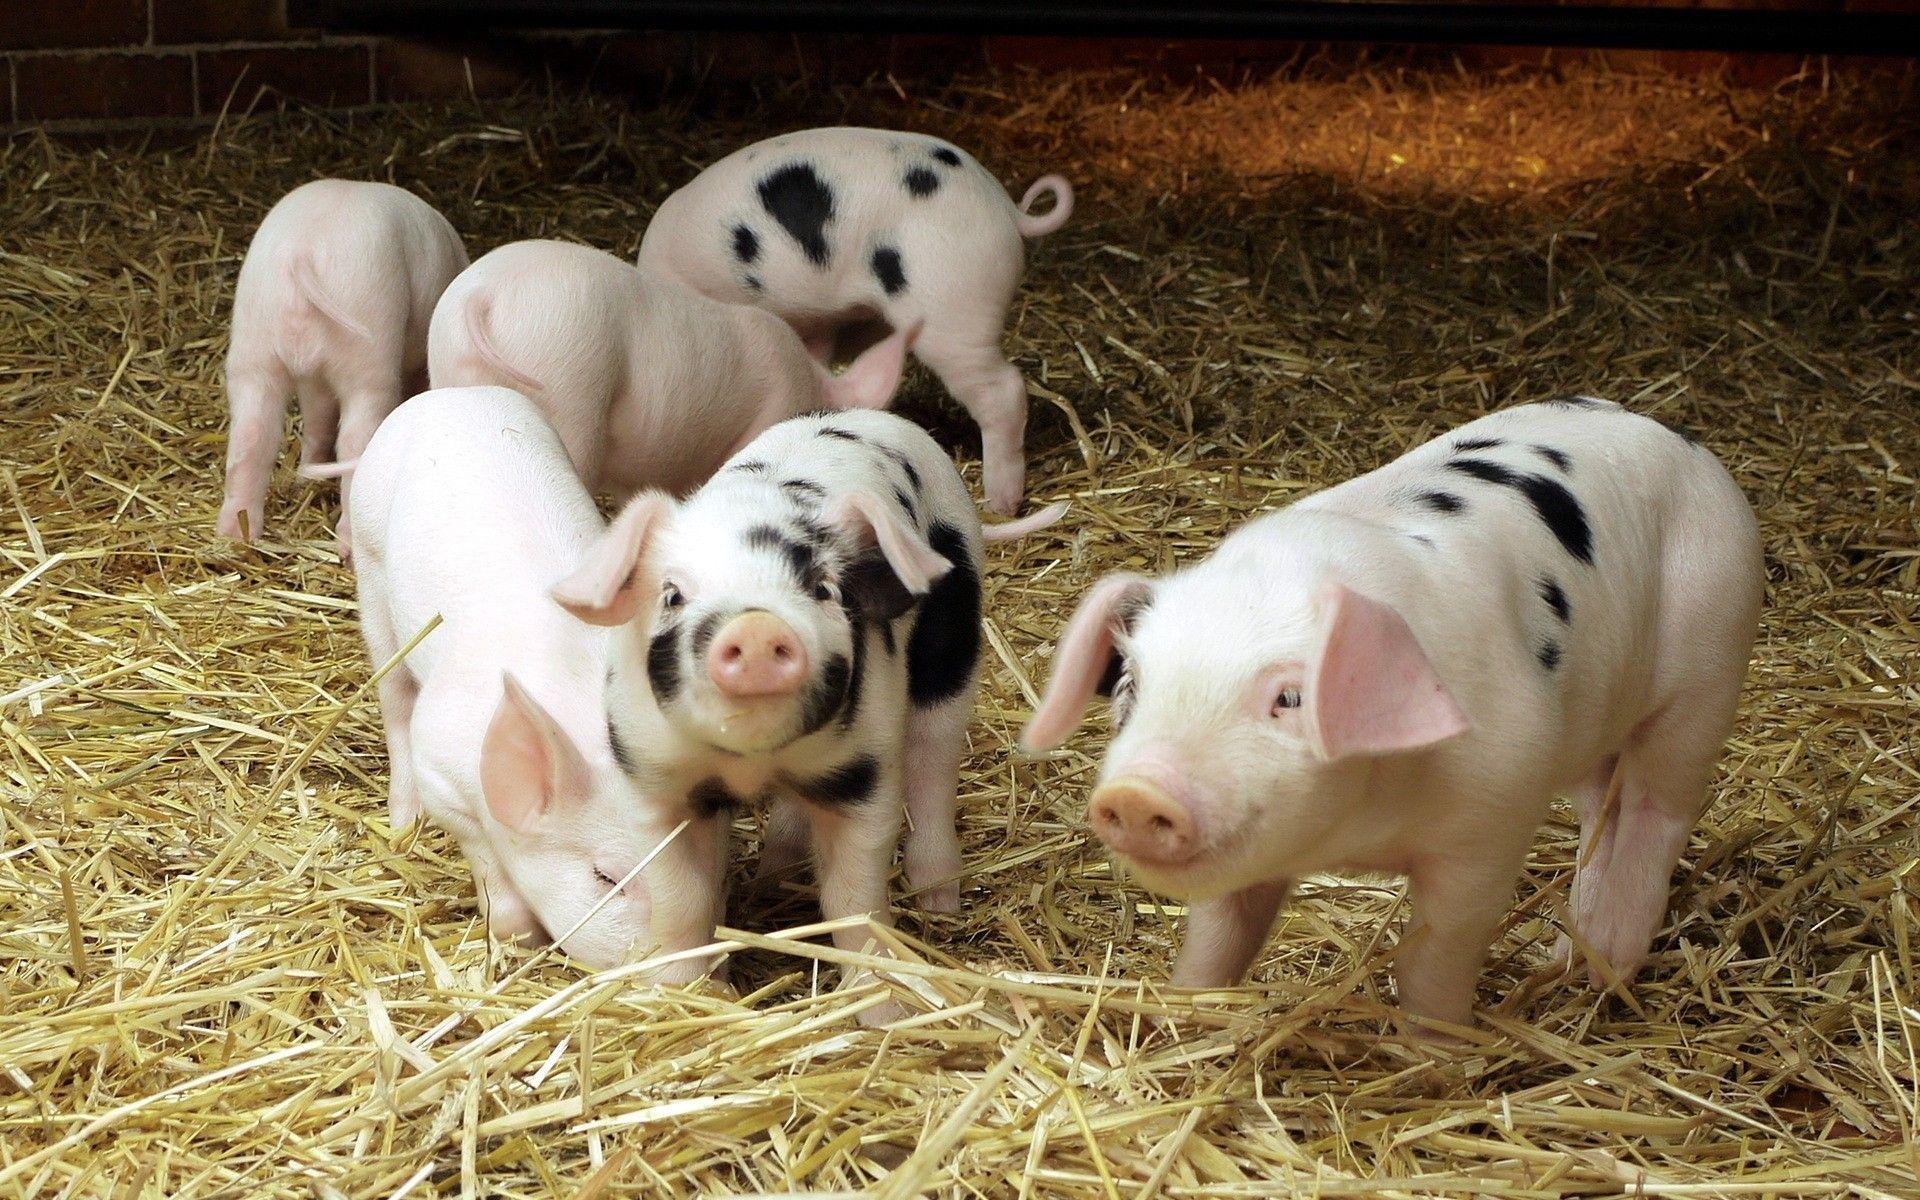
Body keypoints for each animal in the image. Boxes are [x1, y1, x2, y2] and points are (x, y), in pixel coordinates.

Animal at [218, 179, 468, 553]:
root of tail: (305, 252)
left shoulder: (313, 377)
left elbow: (318, 416)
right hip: (369, 346)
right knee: (355, 441)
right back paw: (348, 545)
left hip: (254, 346)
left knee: (252, 436)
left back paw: (235, 533)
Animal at [343, 384, 726, 979]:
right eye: (605, 877)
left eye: (715, 867)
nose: (694, 983)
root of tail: (450, 393)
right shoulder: (444, 772)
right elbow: (490, 870)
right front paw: (516, 940)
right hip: (370, 563)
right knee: (395, 699)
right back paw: (403, 823)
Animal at [550, 409, 1064, 1016]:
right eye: (672, 594)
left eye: (823, 589)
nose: (755, 626)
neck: (754, 761)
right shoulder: (655, 779)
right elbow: (683, 900)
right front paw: (681, 993)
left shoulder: (864, 774)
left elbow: (855, 900)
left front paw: (881, 1008)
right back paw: (773, 881)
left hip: (952, 640)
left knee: (933, 763)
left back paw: (939, 899)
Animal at [1022, 397, 1764, 1033]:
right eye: (1132, 686)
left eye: (1290, 697)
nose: (1137, 792)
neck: (1361, 831)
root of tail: (1676, 436)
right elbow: (1217, 939)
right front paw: (1185, 1016)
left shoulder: (1492, 820)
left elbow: (1433, 958)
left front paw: (1437, 1057)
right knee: (1597, 806)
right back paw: (1562, 957)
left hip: (1709, 661)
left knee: (1657, 808)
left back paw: (1607, 966)